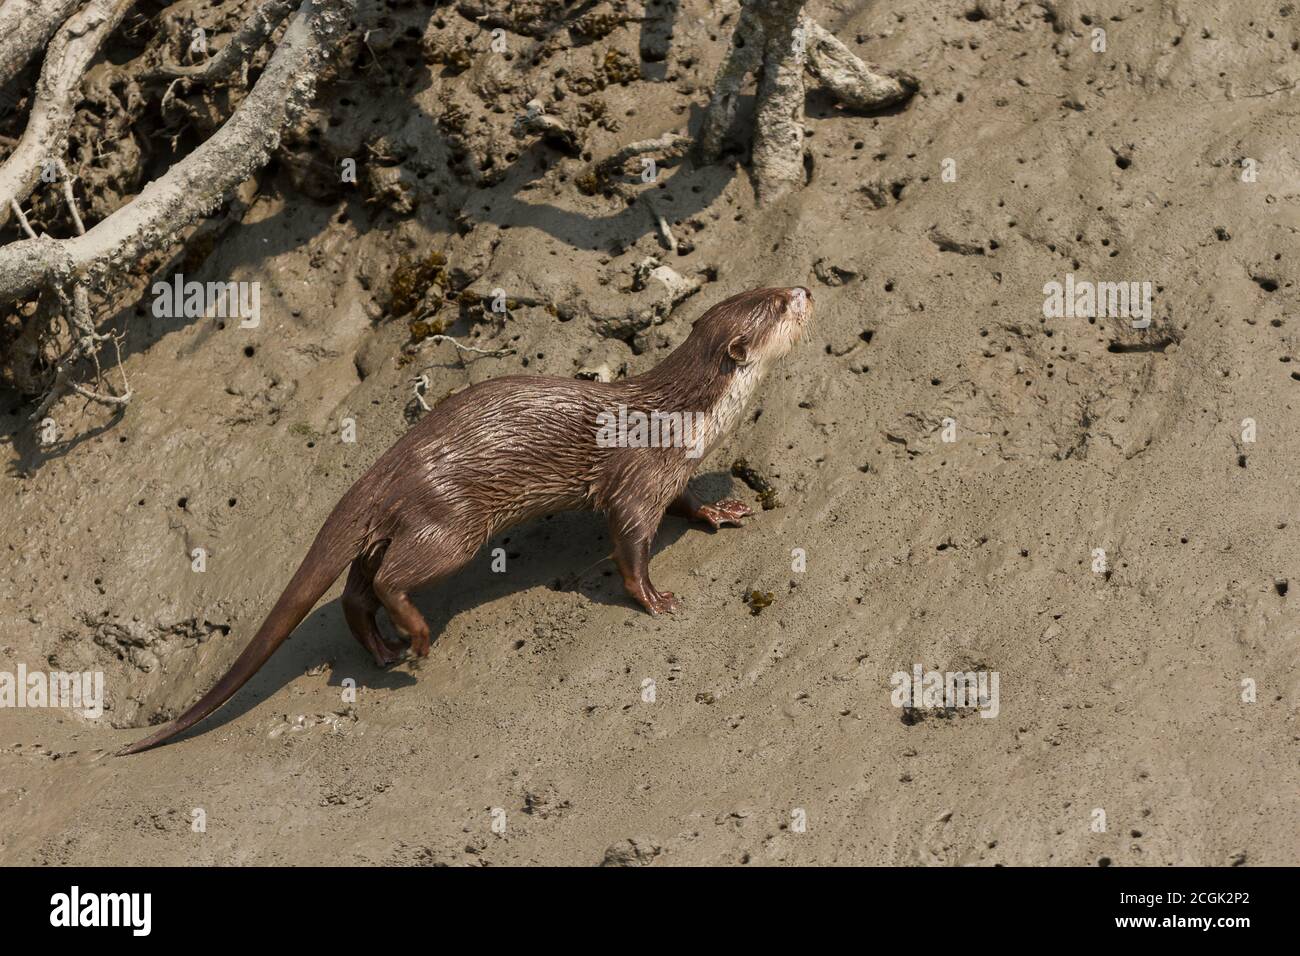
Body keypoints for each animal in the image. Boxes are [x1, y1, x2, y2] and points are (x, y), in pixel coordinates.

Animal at [119, 285, 812, 754]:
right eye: (778, 306)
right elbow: (629, 545)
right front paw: (655, 599)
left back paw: (383, 651)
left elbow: (687, 501)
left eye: (765, 288)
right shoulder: (639, 480)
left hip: (403, 526)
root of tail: (388, 466)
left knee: (355, 591)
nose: (804, 288)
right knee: (390, 579)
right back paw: (419, 638)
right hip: (452, 525)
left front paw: (722, 509)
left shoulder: (670, 473)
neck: (685, 418)